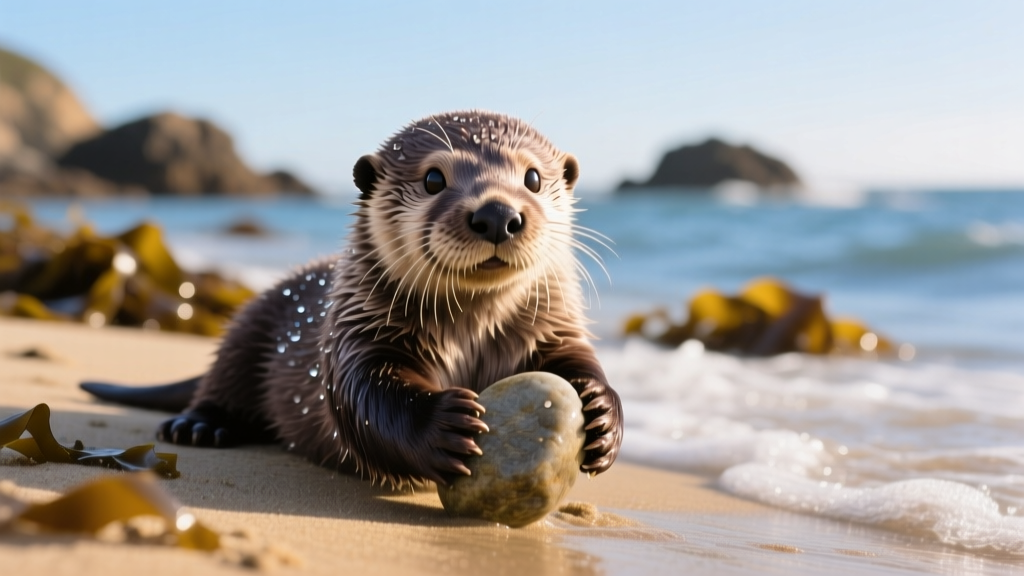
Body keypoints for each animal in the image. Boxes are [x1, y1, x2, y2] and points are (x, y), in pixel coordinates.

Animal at [82, 111, 623, 487]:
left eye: (532, 178)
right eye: (434, 178)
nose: (496, 213)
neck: (473, 336)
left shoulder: (553, 326)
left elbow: (578, 359)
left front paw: (600, 410)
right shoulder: (357, 331)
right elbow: (365, 395)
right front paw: (445, 424)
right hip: (250, 325)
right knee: (223, 377)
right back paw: (198, 426)